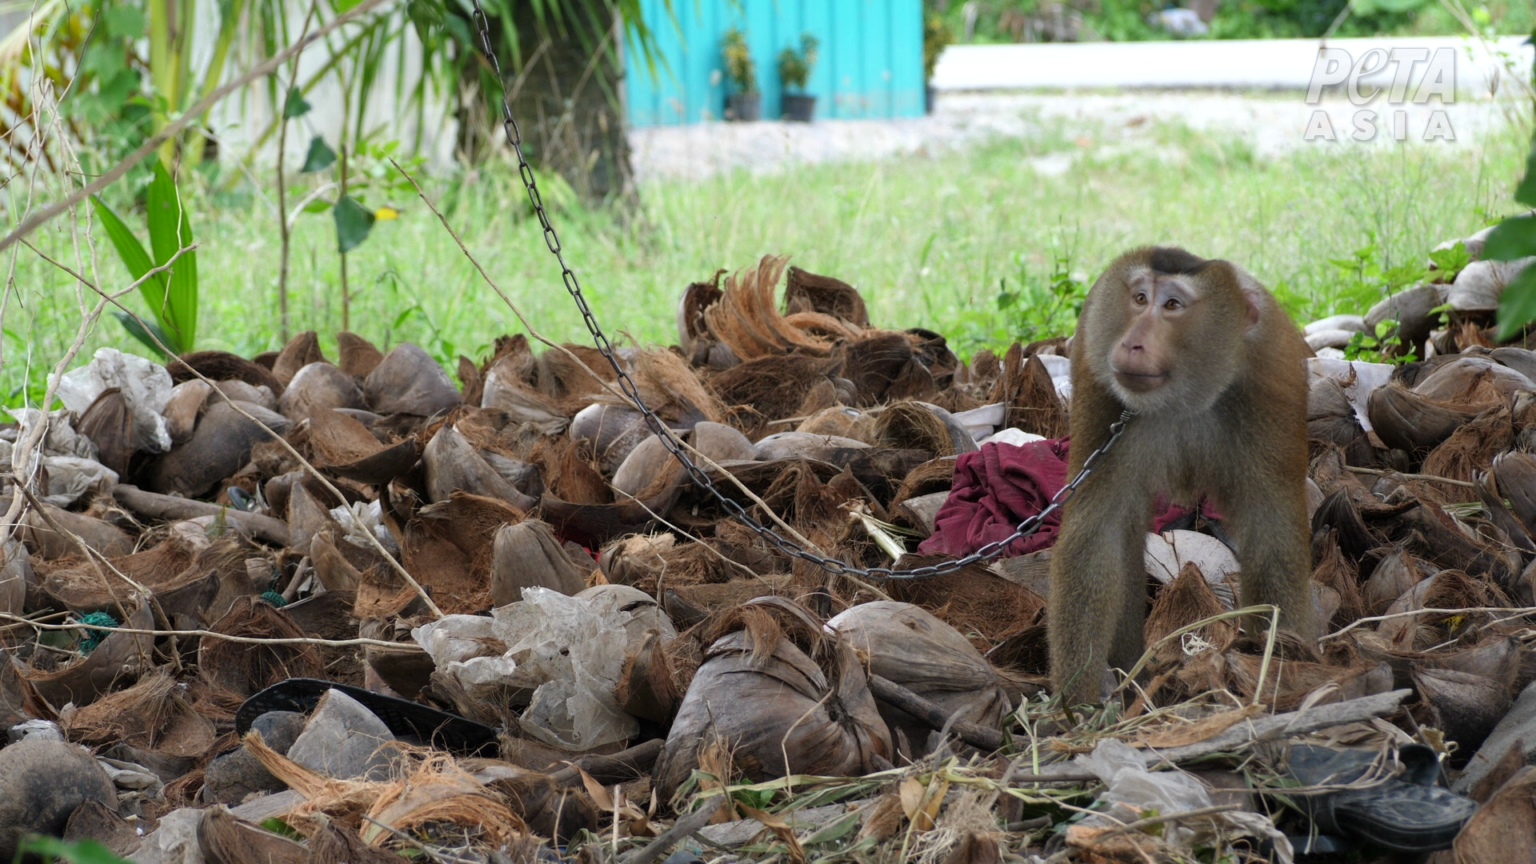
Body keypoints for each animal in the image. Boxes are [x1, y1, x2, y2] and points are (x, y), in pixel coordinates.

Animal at [1047, 246, 1315, 707]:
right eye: (1139, 298)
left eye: (1172, 305)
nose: (1132, 341)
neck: (1187, 397)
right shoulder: (1100, 389)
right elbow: (1098, 530)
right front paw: (1077, 702)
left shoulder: (1271, 385)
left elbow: (1272, 528)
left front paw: (1280, 664)